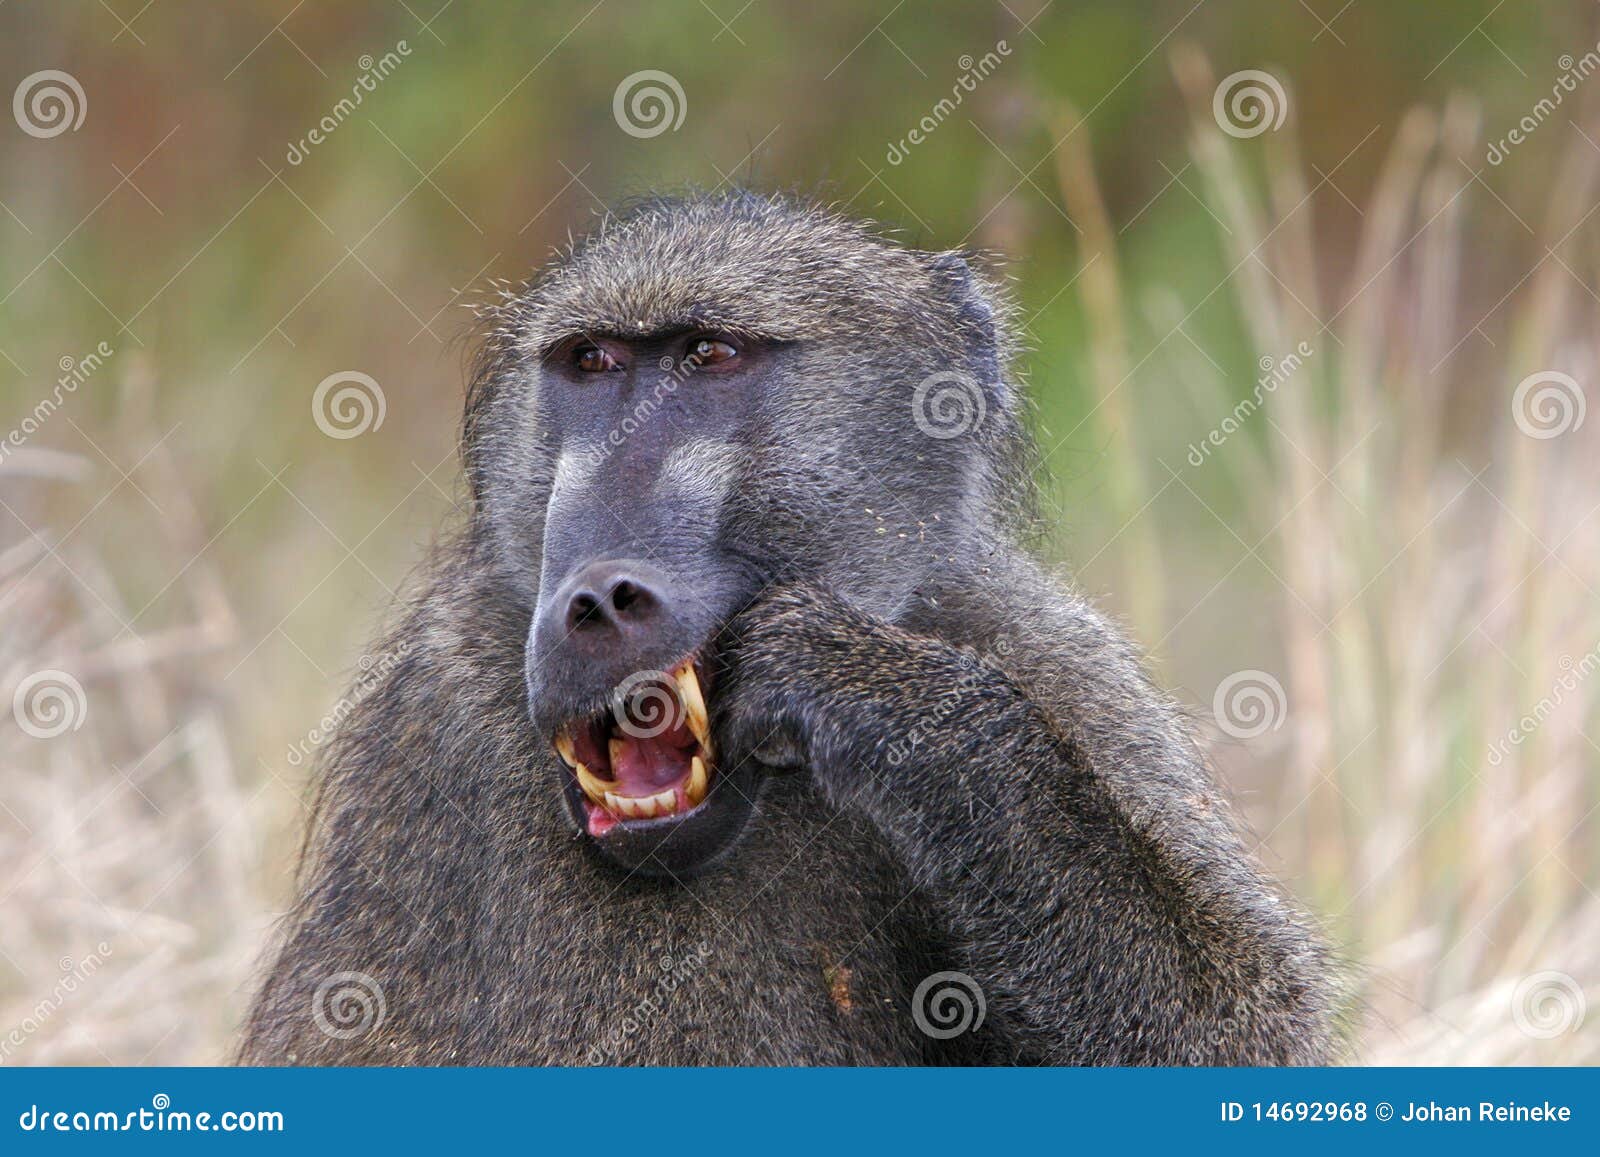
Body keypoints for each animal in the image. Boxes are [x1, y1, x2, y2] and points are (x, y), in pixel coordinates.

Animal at [237, 191, 1343, 1065]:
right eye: (590, 363)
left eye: (711, 356)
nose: (598, 595)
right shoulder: (439, 702)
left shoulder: (1046, 653)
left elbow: (1234, 1027)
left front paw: (878, 693)